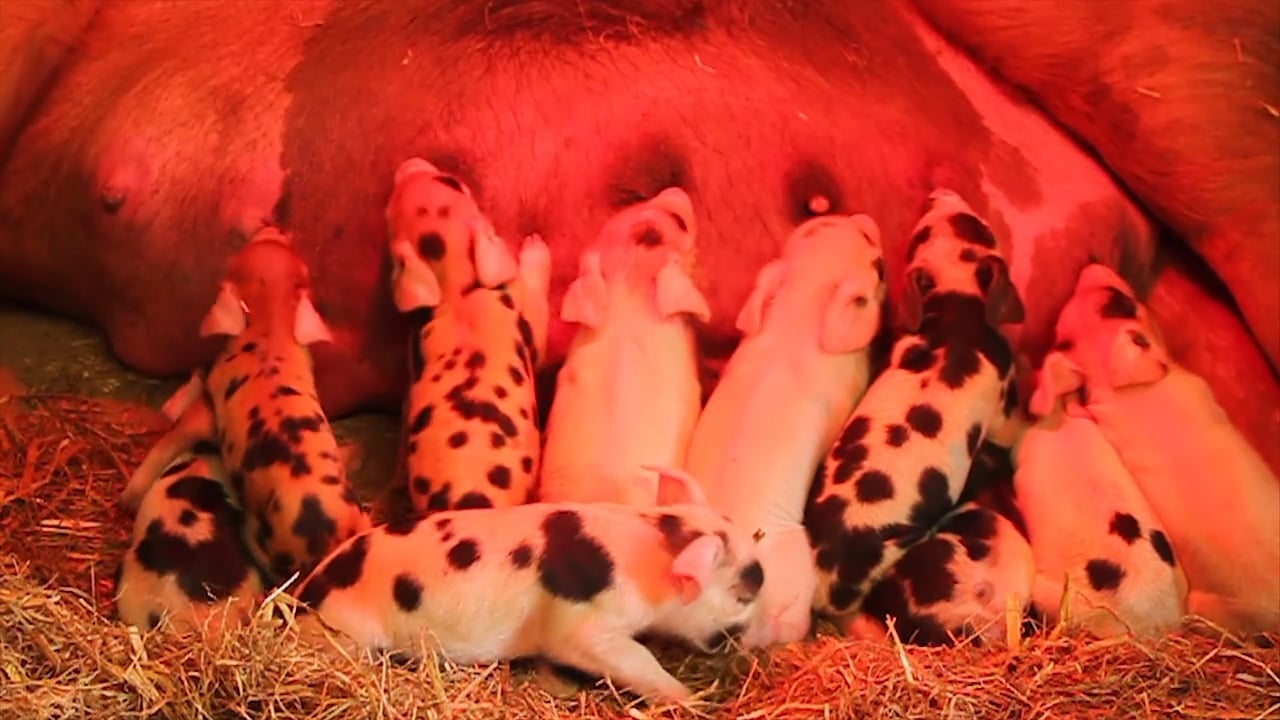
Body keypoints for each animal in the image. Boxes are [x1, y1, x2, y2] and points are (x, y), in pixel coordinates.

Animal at [120, 227, 371, 584]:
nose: (274, 228)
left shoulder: (210, 405)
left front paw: (127, 499)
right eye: (275, 244)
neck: (268, 329)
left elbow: (176, 435)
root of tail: (333, 536)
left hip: (259, 540)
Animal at [294, 466, 764, 705]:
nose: (746, 638)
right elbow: (632, 657)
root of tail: (306, 594)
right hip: (350, 634)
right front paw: (690, 700)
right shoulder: (579, 625)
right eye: (744, 591)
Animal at [384, 157, 550, 515]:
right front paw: (535, 244)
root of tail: (468, 500)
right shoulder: (527, 319)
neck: (458, 291)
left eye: (449, 181)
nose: (408, 162)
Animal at [805, 187, 1026, 632]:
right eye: (981, 225)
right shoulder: (1002, 398)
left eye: (919, 235)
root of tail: (825, 576)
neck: (956, 315)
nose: (937, 193)